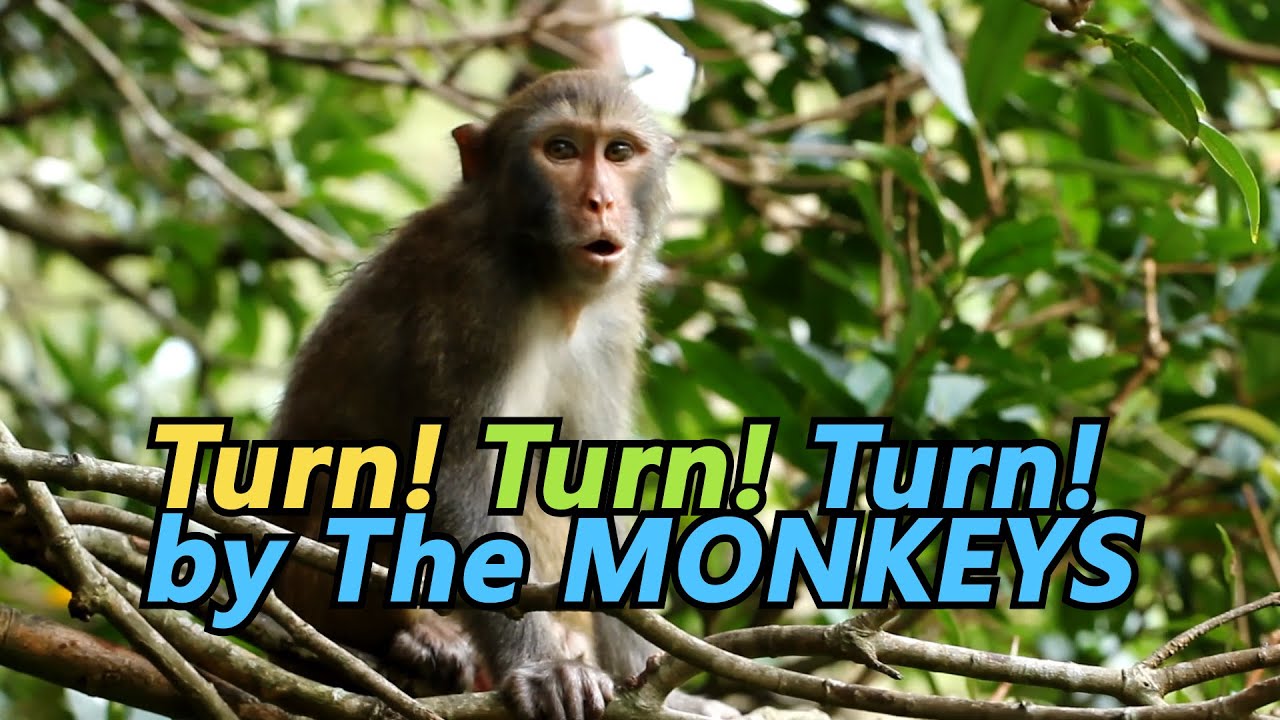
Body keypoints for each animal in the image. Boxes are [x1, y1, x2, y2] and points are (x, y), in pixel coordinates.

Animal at [267, 70, 740, 720]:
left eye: (619, 152)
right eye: (561, 150)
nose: (600, 201)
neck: (547, 283)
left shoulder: (615, 321)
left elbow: (596, 486)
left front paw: (657, 684)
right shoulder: (474, 297)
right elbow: (458, 478)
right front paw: (543, 669)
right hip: (309, 590)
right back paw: (422, 636)